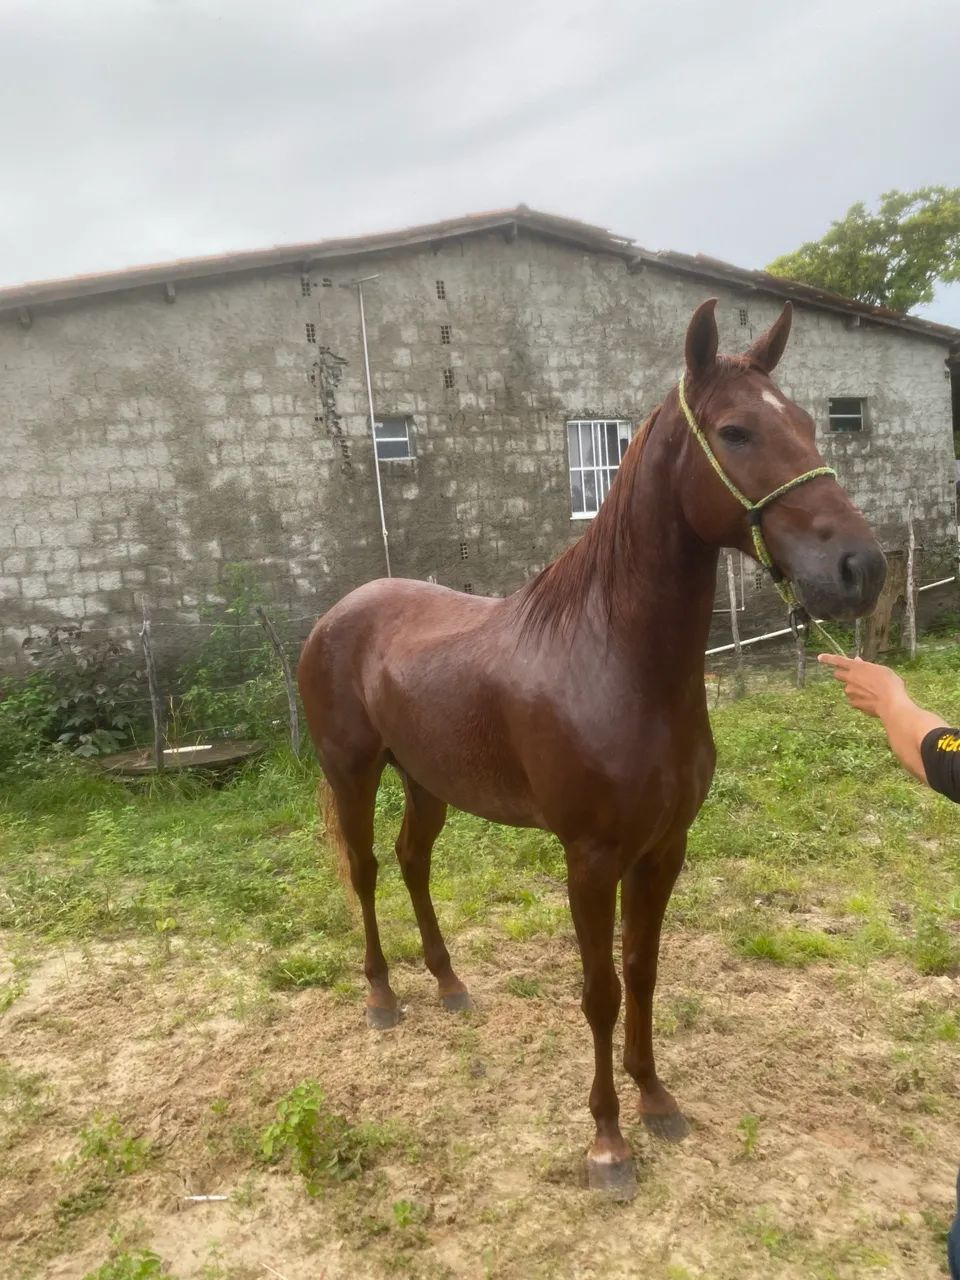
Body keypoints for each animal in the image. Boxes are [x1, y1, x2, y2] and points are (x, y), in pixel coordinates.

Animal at [297, 298, 885, 1198]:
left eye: (813, 424)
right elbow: (601, 990)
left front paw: (656, 1099)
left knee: (411, 862)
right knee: (364, 872)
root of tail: (337, 614)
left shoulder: (664, 848)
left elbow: (643, 971)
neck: (613, 660)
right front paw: (607, 1142)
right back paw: (383, 997)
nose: (861, 568)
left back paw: (449, 982)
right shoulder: (591, 857)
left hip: (427, 781)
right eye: (737, 431)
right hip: (354, 772)